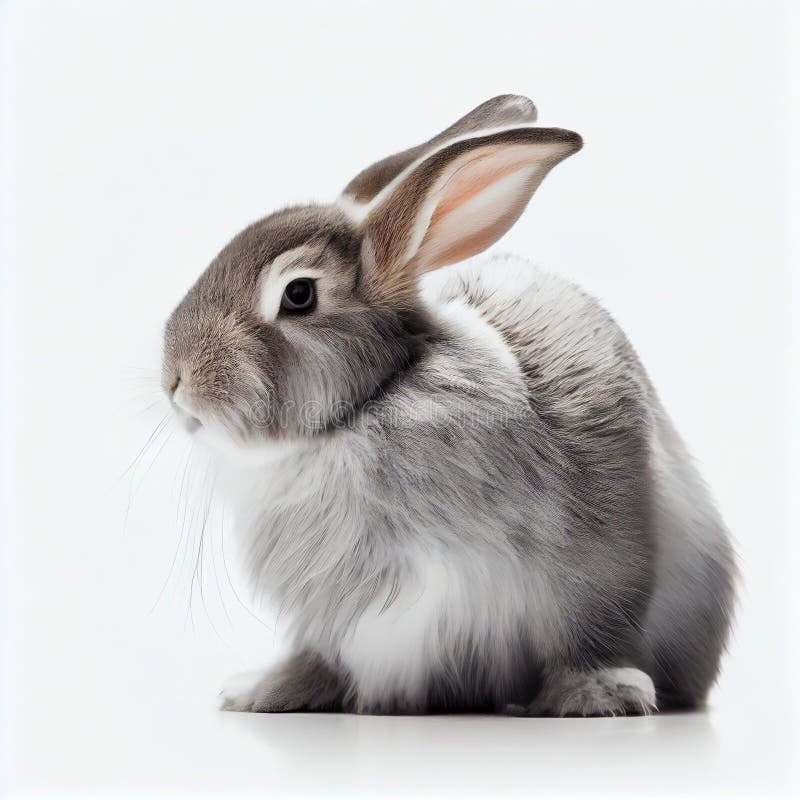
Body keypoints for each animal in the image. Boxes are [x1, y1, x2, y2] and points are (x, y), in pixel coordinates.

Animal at [162, 95, 737, 716]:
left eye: (298, 294)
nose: (174, 381)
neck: (370, 406)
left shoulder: (601, 563)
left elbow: (594, 630)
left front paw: (601, 692)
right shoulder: (329, 615)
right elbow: (322, 655)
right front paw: (262, 689)